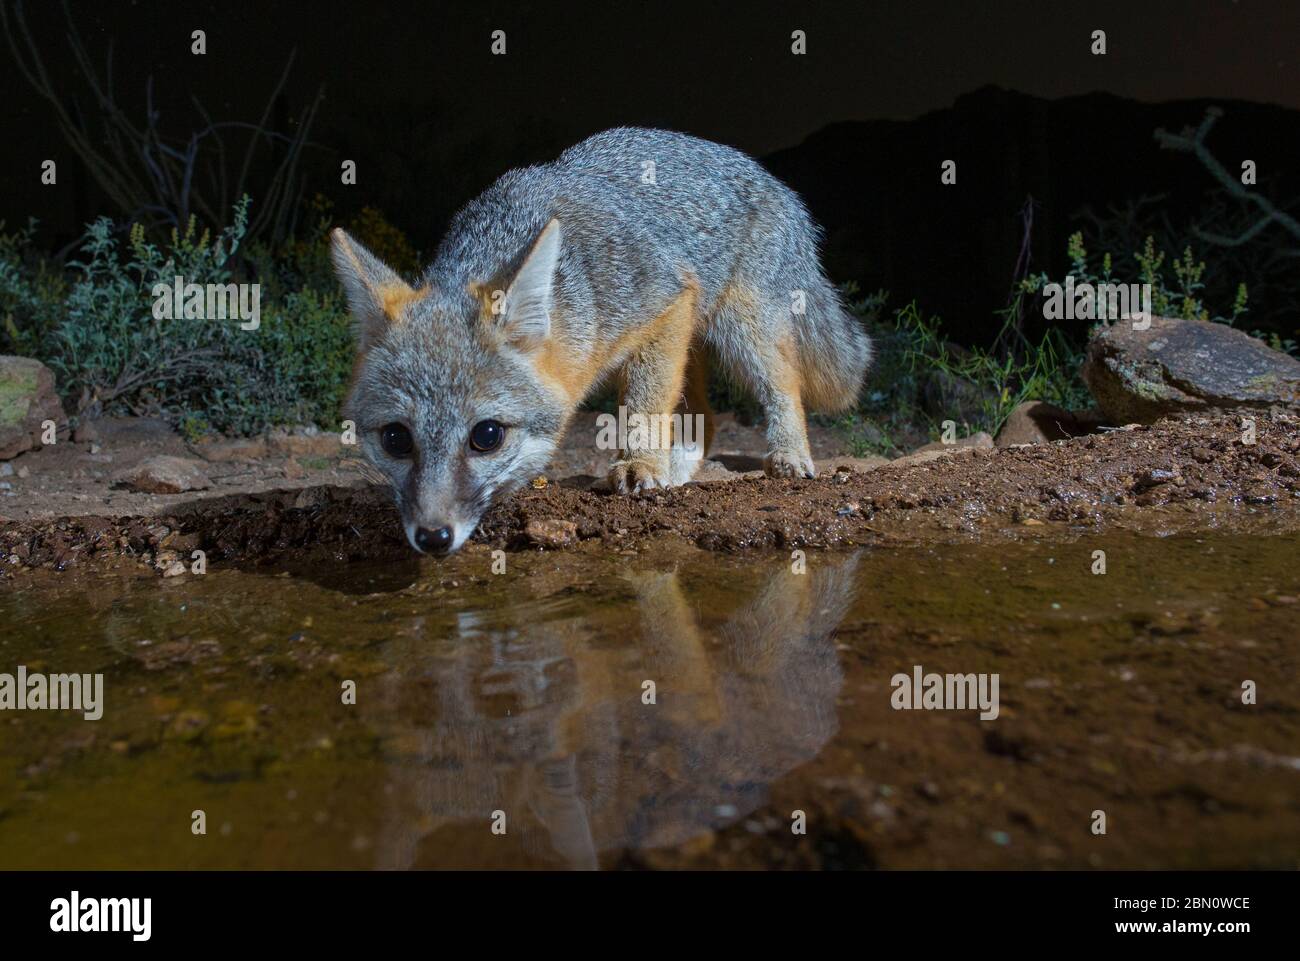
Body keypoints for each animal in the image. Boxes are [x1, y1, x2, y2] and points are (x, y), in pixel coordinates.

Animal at [331, 127, 871, 555]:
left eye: (486, 436)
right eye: (396, 438)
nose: (432, 537)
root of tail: (776, 183)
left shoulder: (663, 306)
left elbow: (643, 405)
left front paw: (639, 464)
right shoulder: (665, 324)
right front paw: (652, 464)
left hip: (741, 333)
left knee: (784, 386)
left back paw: (788, 456)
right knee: (708, 417)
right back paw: (681, 467)